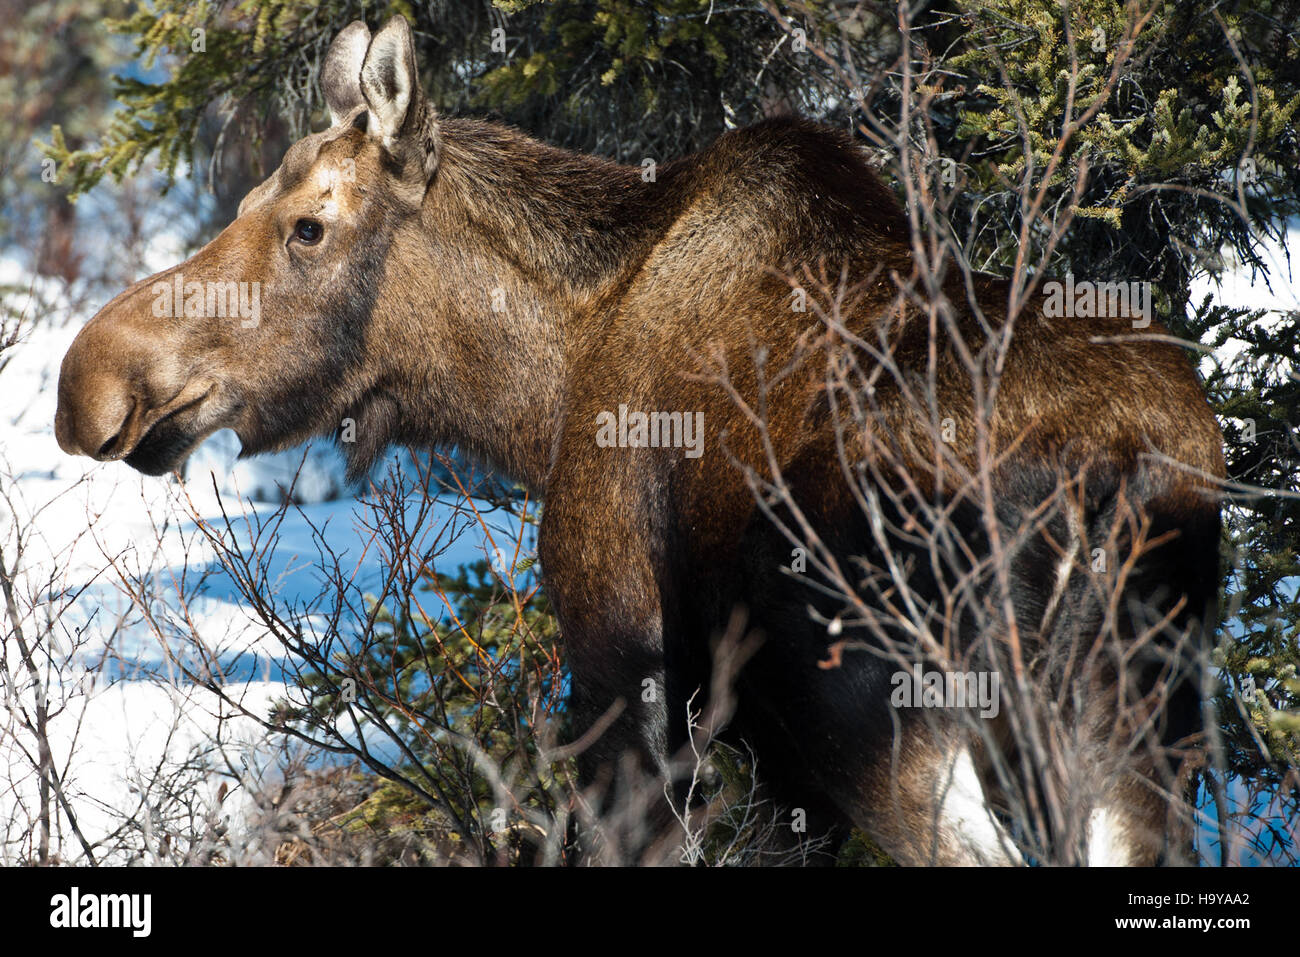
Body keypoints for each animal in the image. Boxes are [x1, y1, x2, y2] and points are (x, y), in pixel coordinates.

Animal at [54, 15, 1224, 865]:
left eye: (307, 224)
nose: (89, 381)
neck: (539, 396)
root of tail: (1121, 480)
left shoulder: (623, 665)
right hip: (1139, 734)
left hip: (896, 721)